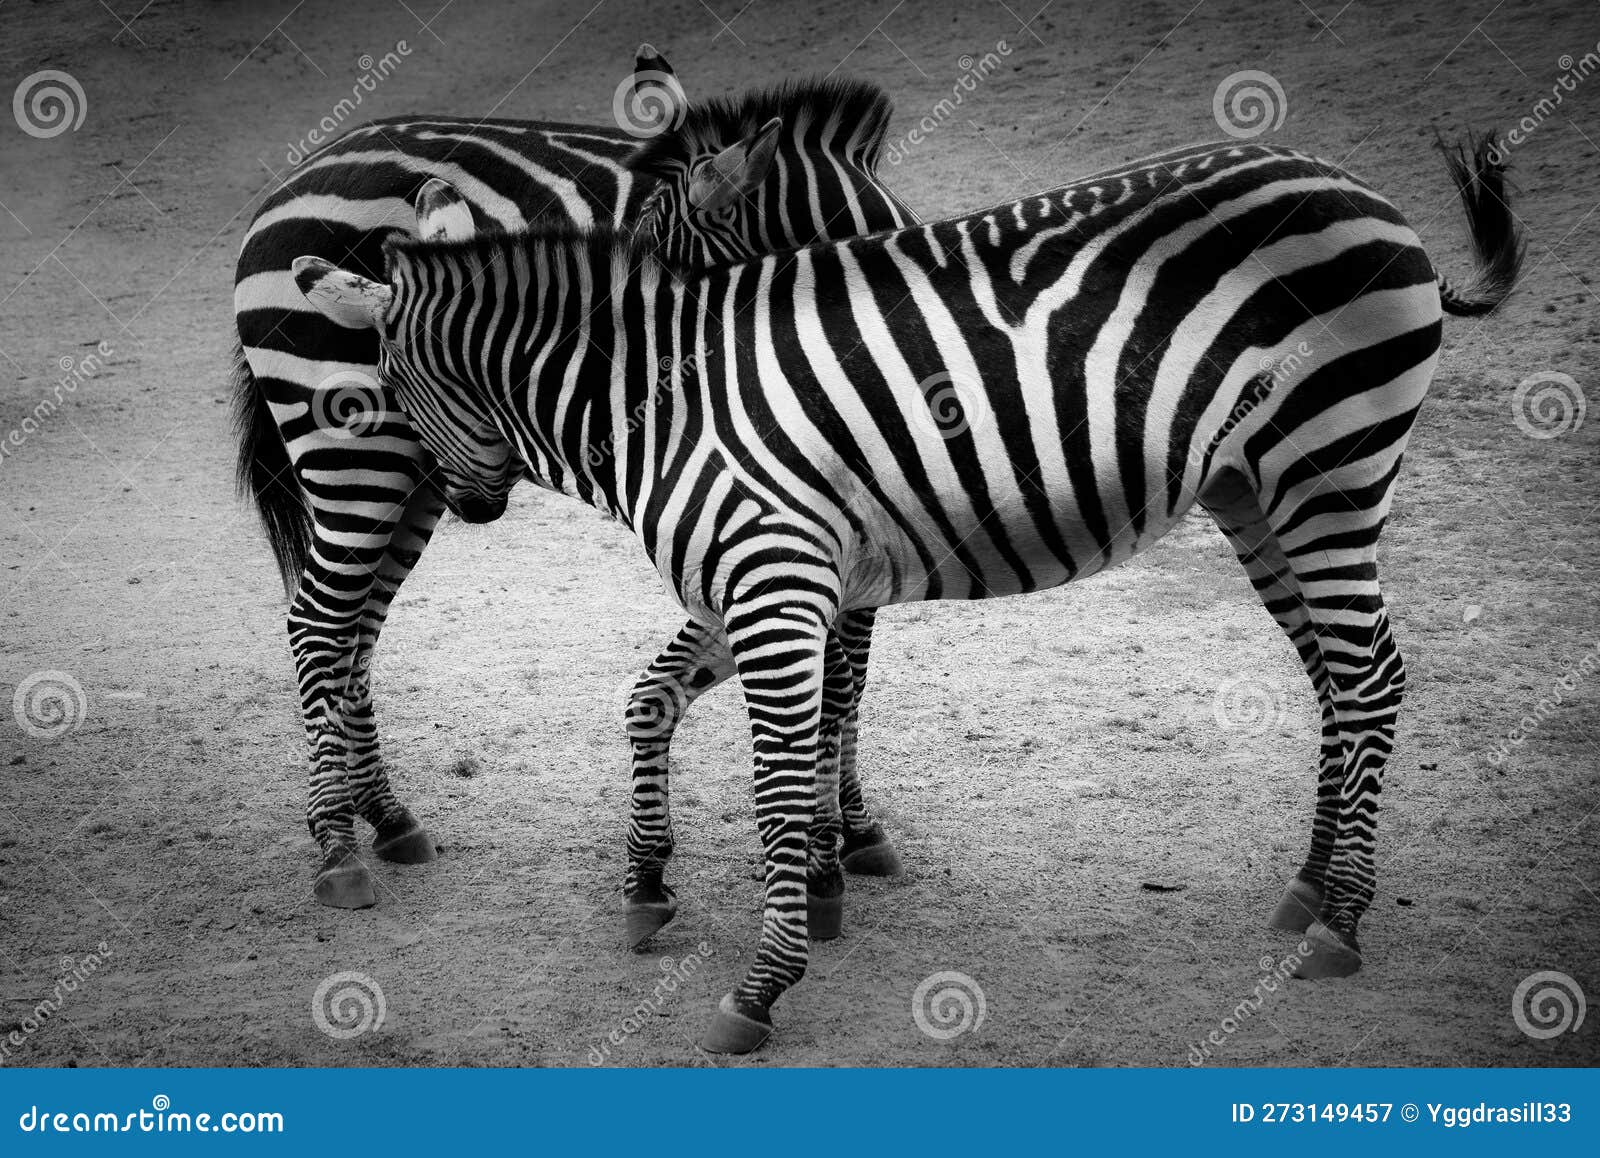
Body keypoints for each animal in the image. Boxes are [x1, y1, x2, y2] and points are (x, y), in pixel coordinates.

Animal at [232, 51, 916, 913]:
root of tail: (293, 179)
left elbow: (848, 672)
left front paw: (850, 829)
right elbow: (835, 674)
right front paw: (824, 854)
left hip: (422, 471)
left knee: (356, 630)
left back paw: (386, 817)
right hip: (356, 454)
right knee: (318, 624)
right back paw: (334, 845)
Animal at [292, 133, 1523, 1052]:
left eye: (386, 381)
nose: (465, 505)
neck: (660, 401)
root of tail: (1362, 190)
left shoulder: (777, 585)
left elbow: (781, 782)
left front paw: (765, 979)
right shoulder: (761, 579)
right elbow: (647, 701)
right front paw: (648, 884)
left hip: (1330, 463)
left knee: (1372, 676)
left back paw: (1343, 922)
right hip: (1253, 489)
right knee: (1335, 677)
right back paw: (1312, 886)